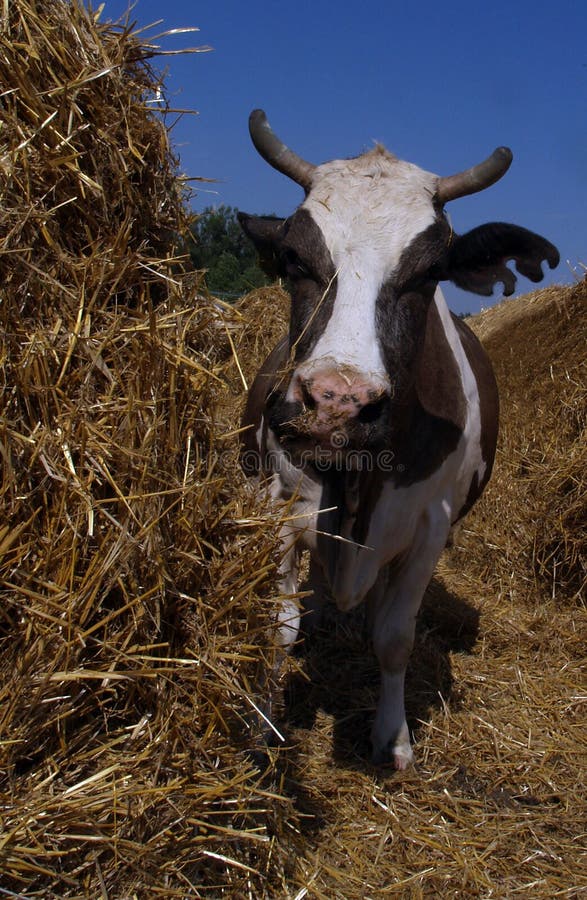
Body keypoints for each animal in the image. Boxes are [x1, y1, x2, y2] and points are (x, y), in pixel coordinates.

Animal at [238, 109, 559, 769]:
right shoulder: (276, 503)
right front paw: (261, 726)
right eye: (293, 258)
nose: (336, 402)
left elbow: (394, 636)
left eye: (431, 273)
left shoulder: (430, 527)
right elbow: (277, 627)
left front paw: (394, 736)